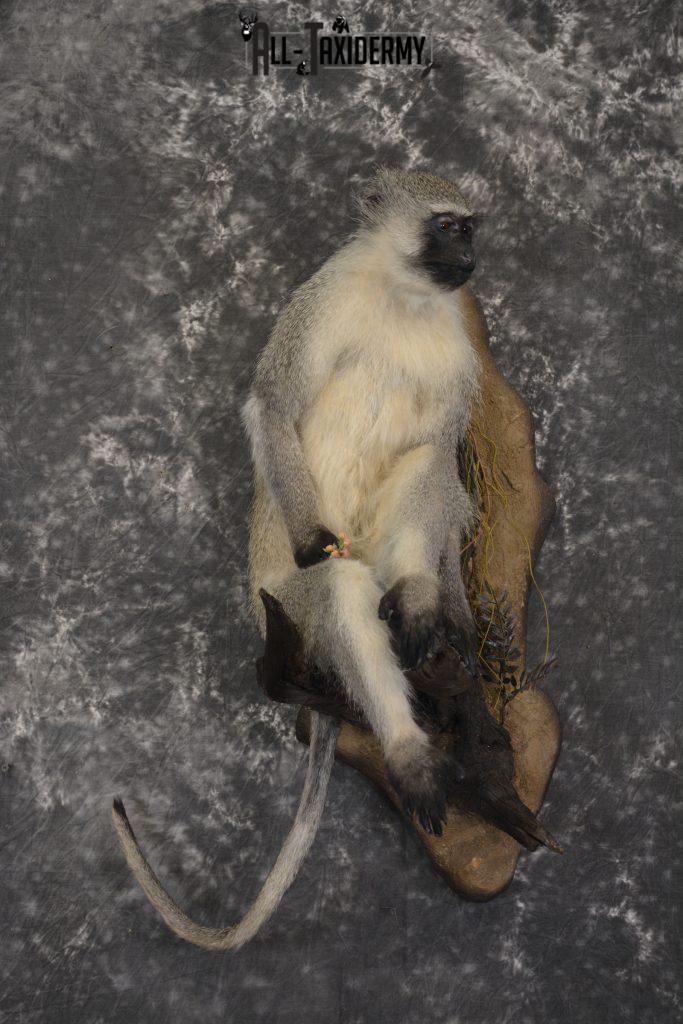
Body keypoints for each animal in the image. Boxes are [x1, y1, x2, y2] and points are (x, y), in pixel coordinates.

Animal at [113, 168, 485, 951]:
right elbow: (273, 407)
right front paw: (312, 535)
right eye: (447, 227)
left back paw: (418, 601)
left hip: (379, 551)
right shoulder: (318, 302)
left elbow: (439, 451)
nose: (471, 258)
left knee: (427, 467)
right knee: (339, 587)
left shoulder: (460, 345)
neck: (402, 295)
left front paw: (441, 610)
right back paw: (407, 752)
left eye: (470, 228)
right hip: (291, 608)